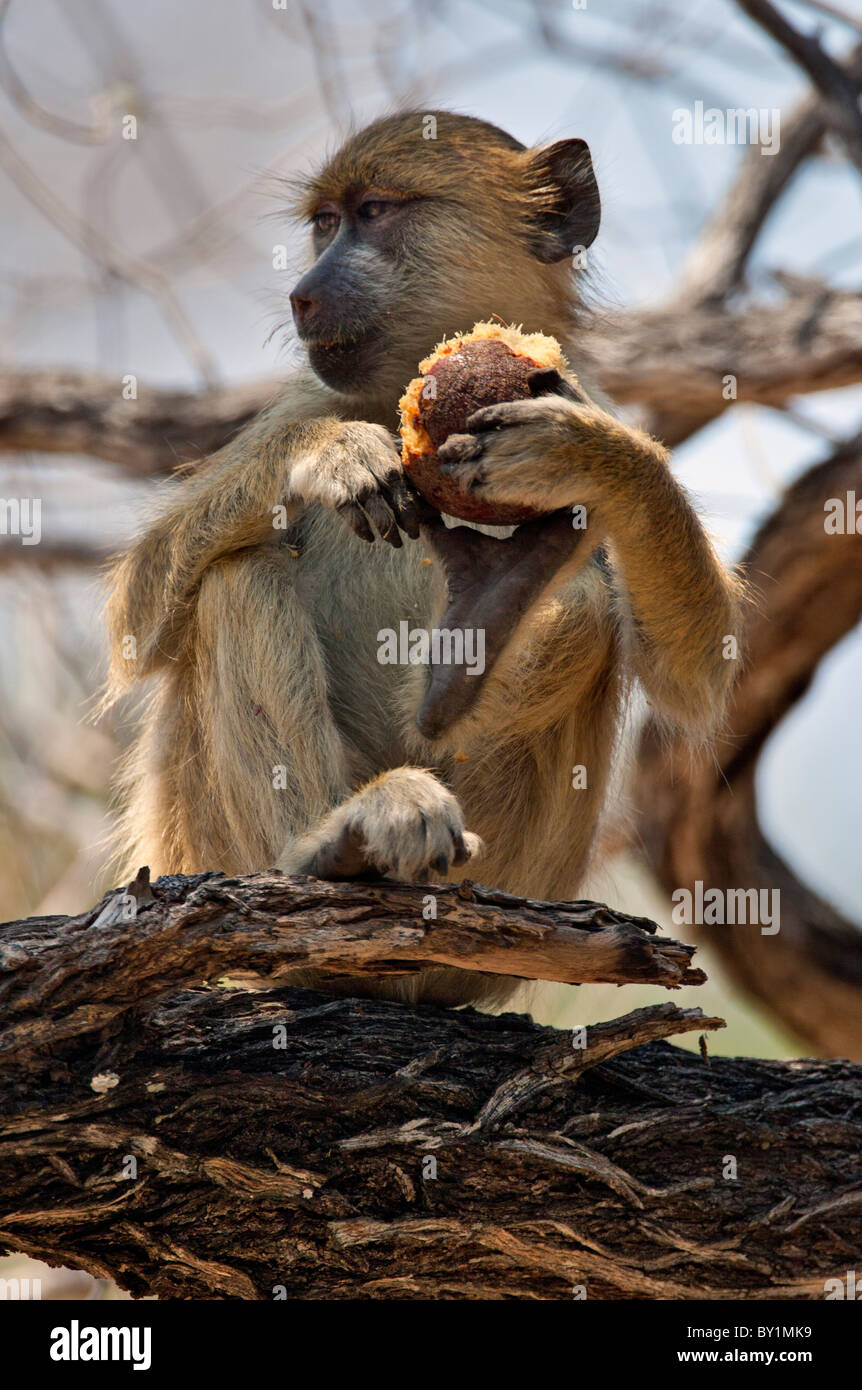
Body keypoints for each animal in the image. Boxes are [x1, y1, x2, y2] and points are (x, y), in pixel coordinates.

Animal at [103, 111, 741, 1008]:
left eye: (374, 212)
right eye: (324, 223)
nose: (304, 293)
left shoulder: (582, 389)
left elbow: (695, 677)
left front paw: (597, 456)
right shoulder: (303, 396)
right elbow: (136, 622)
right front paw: (329, 453)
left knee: (585, 614)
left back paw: (479, 628)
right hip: (201, 847)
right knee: (237, 576)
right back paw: (331, 852)